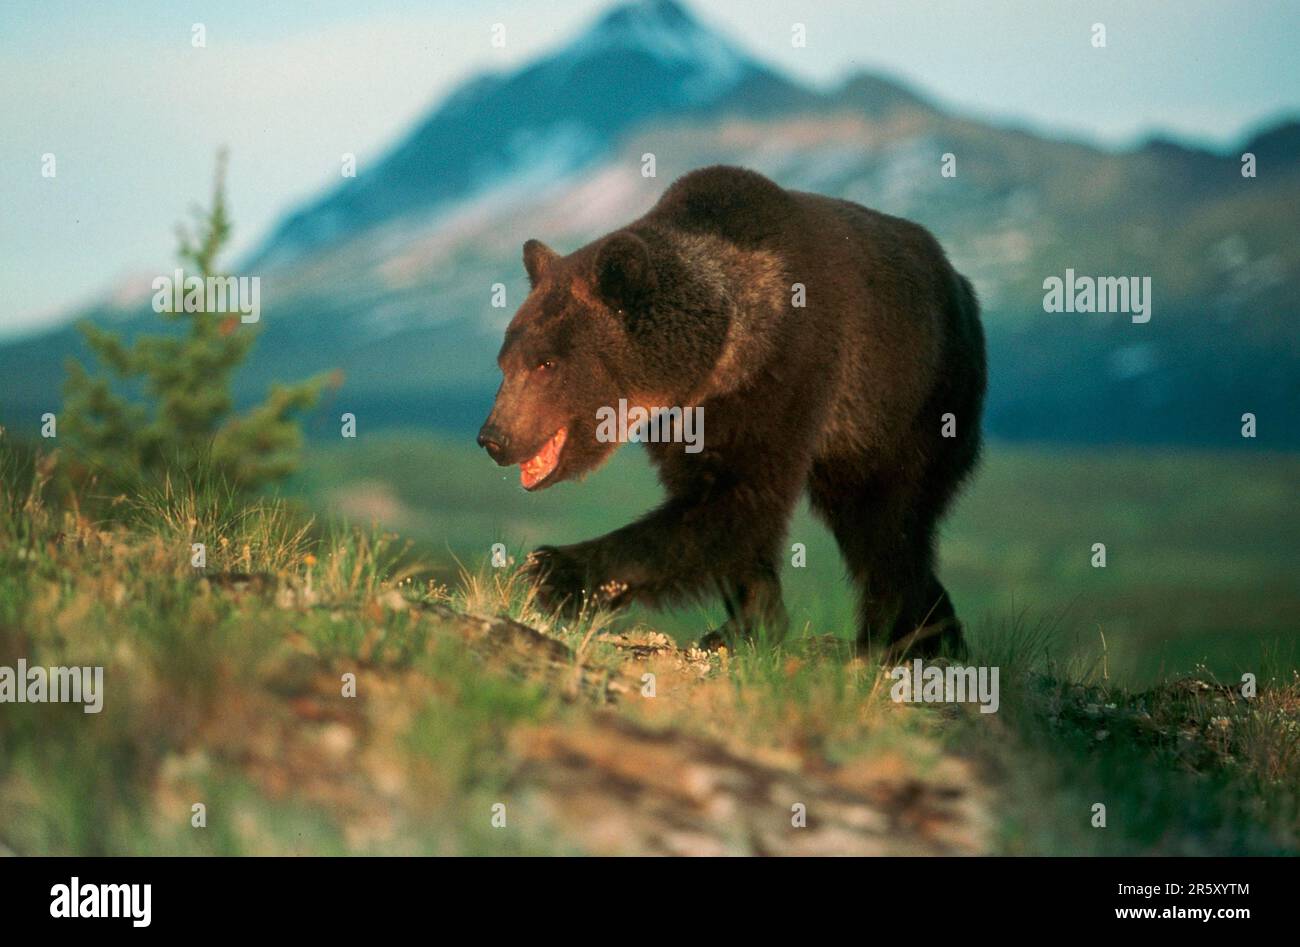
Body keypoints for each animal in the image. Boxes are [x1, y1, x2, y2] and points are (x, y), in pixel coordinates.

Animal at [478, 165, 986, 656]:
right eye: (505, 361)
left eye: (546, 364)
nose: (493, 437)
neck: (716, 357)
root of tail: (960, 282)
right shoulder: (684, 419)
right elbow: (718, 506)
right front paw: (751, 621)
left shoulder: (782, 376)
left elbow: (737, 500)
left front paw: (554, 570)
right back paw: (934, 629)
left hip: (915, 400)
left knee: (886, 521)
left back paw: (891, 638)